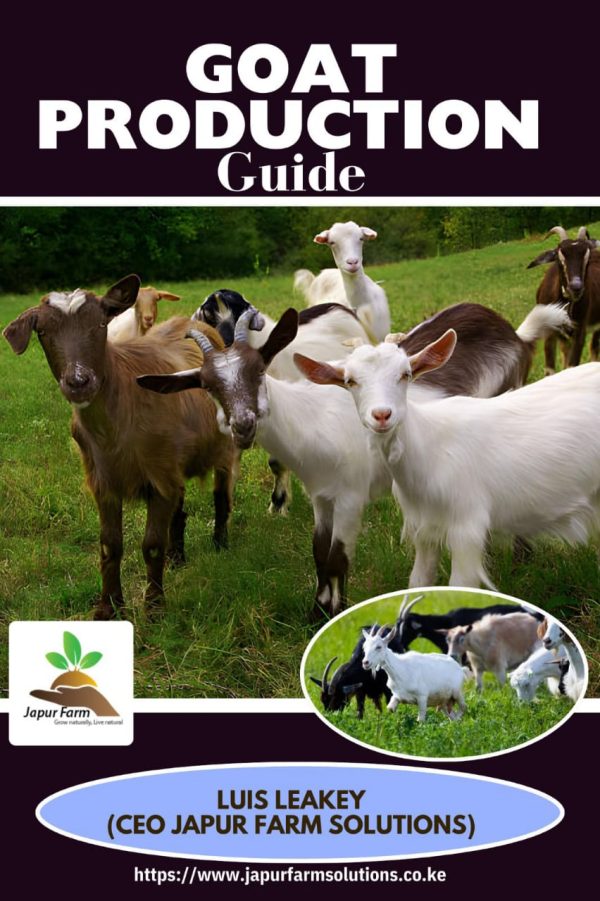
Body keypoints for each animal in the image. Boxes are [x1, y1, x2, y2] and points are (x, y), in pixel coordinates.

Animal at [3, 275, 235, 620]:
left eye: (101, 324)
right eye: (42, 332)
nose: (79, 382)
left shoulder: (158, 475)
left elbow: (151, 544)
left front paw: (154, 607)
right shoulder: (104, 480)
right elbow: (110, 545)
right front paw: (108, 607)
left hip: (224, 447)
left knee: (222, 494)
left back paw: (220, 544)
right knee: (179, 508)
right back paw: (177, 557)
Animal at [296, 327, 600, 590]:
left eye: (405, 374)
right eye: (350, 381)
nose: (382, 415)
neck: (430, 449)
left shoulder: (468, 526)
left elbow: (461, 587)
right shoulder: (425, 528)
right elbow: (418, 582)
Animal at [528, 225, 600, 372]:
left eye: (587, 258)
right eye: (559, 256)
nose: (576, 287)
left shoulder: (580, 331)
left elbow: (572, 365)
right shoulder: (550, 333)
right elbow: (551, 370)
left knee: (594, 348)